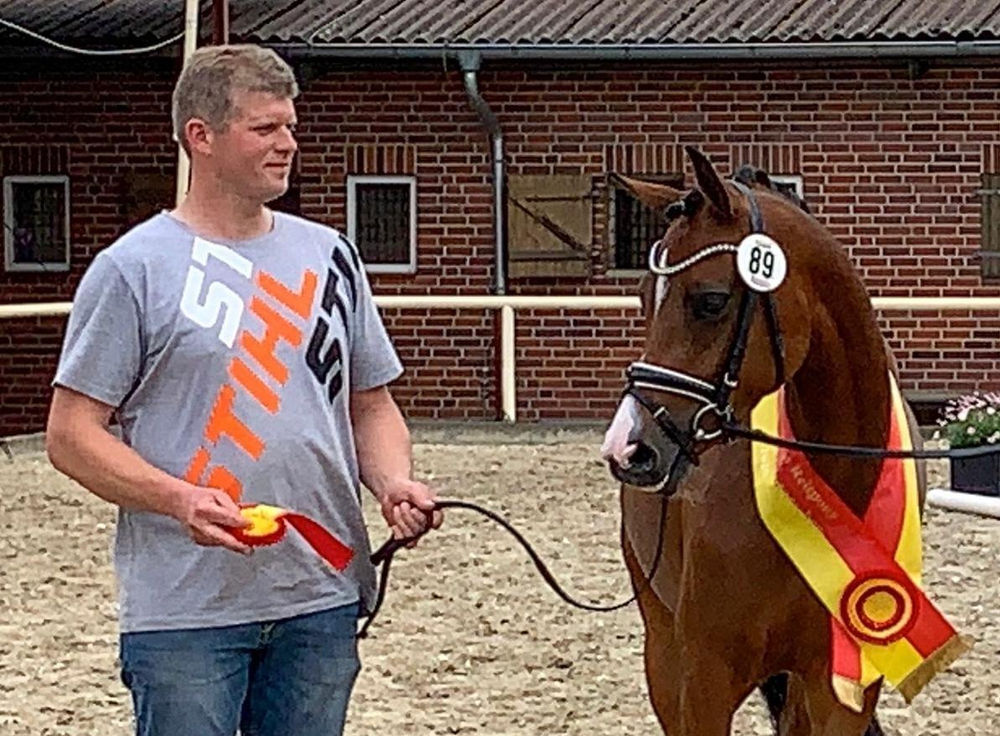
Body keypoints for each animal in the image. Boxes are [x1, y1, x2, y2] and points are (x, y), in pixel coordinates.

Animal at [600, 146, 927, 736]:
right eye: (642, 298)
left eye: (710, 301)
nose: (628, 447)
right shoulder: (703, 680)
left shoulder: (839, 689)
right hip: (662, 648)